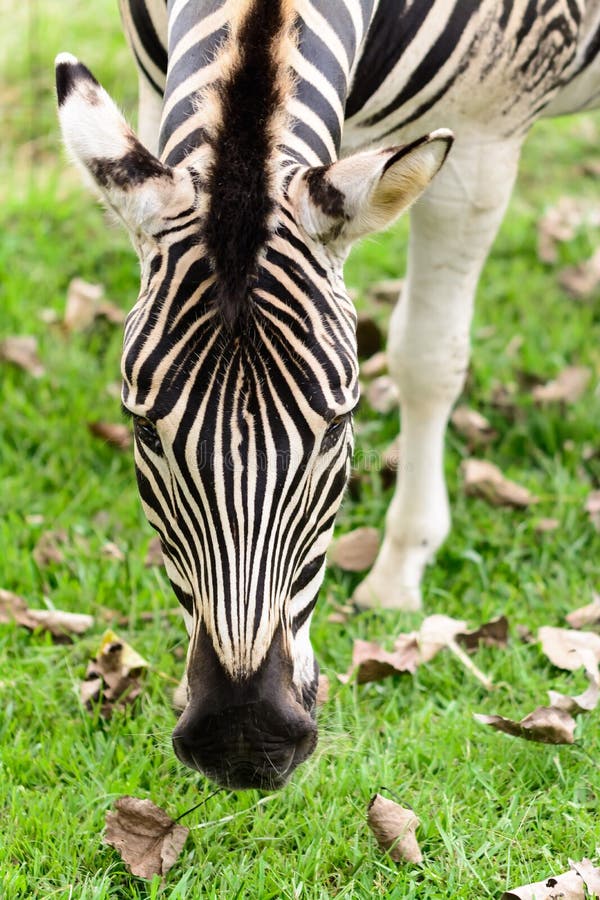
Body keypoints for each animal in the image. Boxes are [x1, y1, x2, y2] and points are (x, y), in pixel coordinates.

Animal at [56, 0, 600, 790]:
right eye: (144, 428)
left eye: (338, 428)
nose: (243, 740)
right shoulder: (156, 93)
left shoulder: (482, 135)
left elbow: (427, 355)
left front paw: (401, 564)